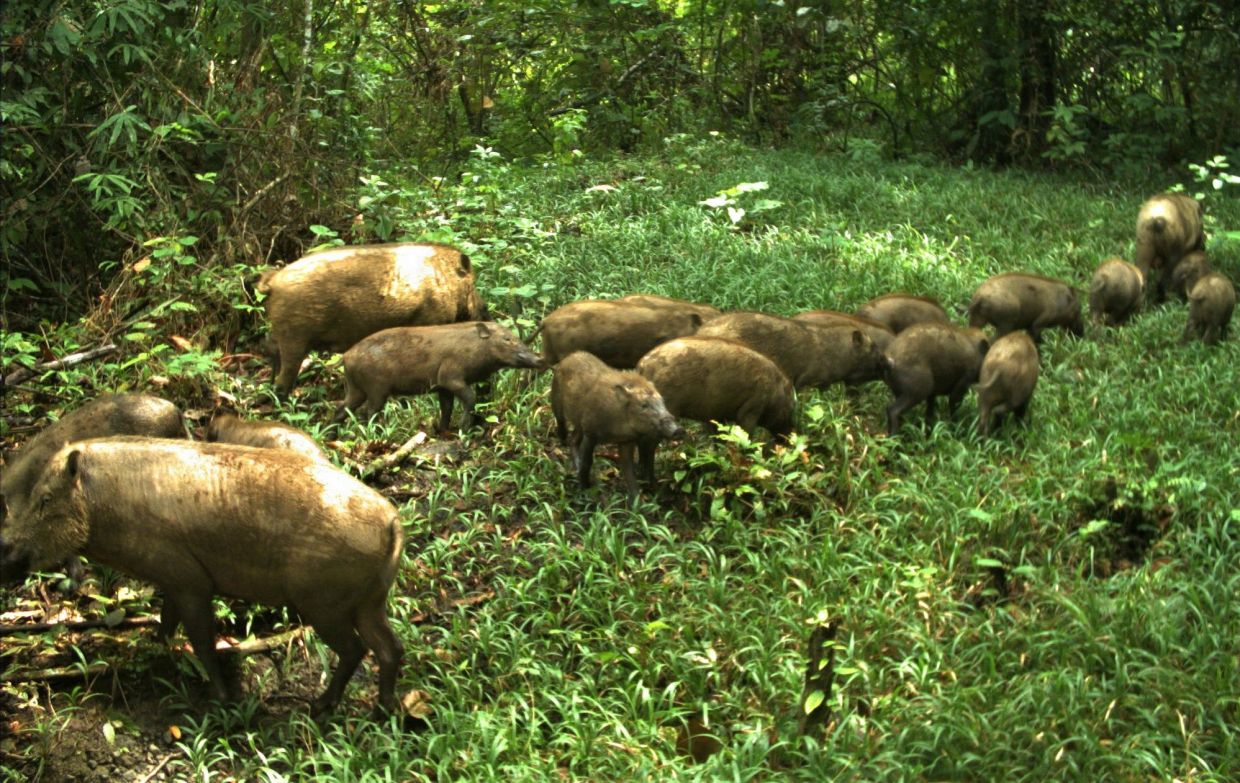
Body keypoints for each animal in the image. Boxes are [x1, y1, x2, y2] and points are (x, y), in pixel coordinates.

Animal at [0, 437, 403, 714]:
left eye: (45, 500)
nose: (7, 550)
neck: (106, 505)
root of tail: (392, 520)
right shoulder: (173, 579)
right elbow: (166, 619)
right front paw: (155, 648)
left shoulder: (191, 581)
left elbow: (203, 641)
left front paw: (221, 700)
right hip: (370, 601)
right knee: (390, 648)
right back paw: (383, 711)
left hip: (325, 604)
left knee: (356, 649)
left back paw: (321, 706)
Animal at [257, 242, 487, 395]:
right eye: (473, 284)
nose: (486, 311)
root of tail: (273, 280)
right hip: (294, 337)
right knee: (285, 373)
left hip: (281, 332)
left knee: (269, 346)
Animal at [334, 321, 544, 429]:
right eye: (507, 339)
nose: (539, 358)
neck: (477, 348)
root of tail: (346, 356)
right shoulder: (451, 377)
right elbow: (470, 398)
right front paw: (464, 429)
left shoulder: (442, 387)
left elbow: (447, 408)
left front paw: (443, 431)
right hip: (376, 389)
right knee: (367, 411)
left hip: (355, 387)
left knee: (342, 408)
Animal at [550, 351, 682, 497]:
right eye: (644, 405)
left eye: (662, 401)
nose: (679, 430)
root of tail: (568, 357)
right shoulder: (591, 432)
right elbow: (587, 462)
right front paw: (585, 489)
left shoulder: (626, 441)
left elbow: (629, 471)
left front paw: (637, 501)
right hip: (555, 400)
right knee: (562, 425)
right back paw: (562, 444)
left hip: (579, 422)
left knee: (573, 439)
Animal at [636, 336, 795, 441]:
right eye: (790, 407)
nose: (791, 436)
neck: (776, 390)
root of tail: (641, 365)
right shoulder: (752, 407)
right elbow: (746, 435)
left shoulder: (716, 414)